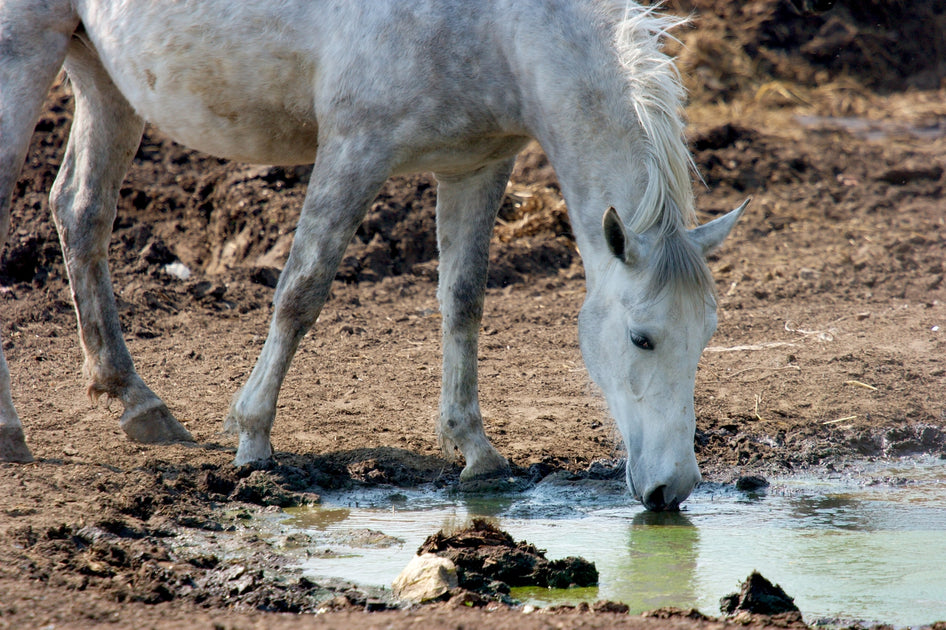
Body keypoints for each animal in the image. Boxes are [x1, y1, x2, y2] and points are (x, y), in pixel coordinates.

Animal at [0, 0, 747, 511]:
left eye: (707, 336)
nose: (673, 489)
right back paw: (13, 432)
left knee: (80, 211)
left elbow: (463, 299)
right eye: (641, 338)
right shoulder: (354, 150)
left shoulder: (477, 166)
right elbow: (301, 291)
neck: (496, 27)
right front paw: (253, 437)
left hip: (103, 73)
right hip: (24, 54)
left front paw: (473, 447)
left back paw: (137, 403)